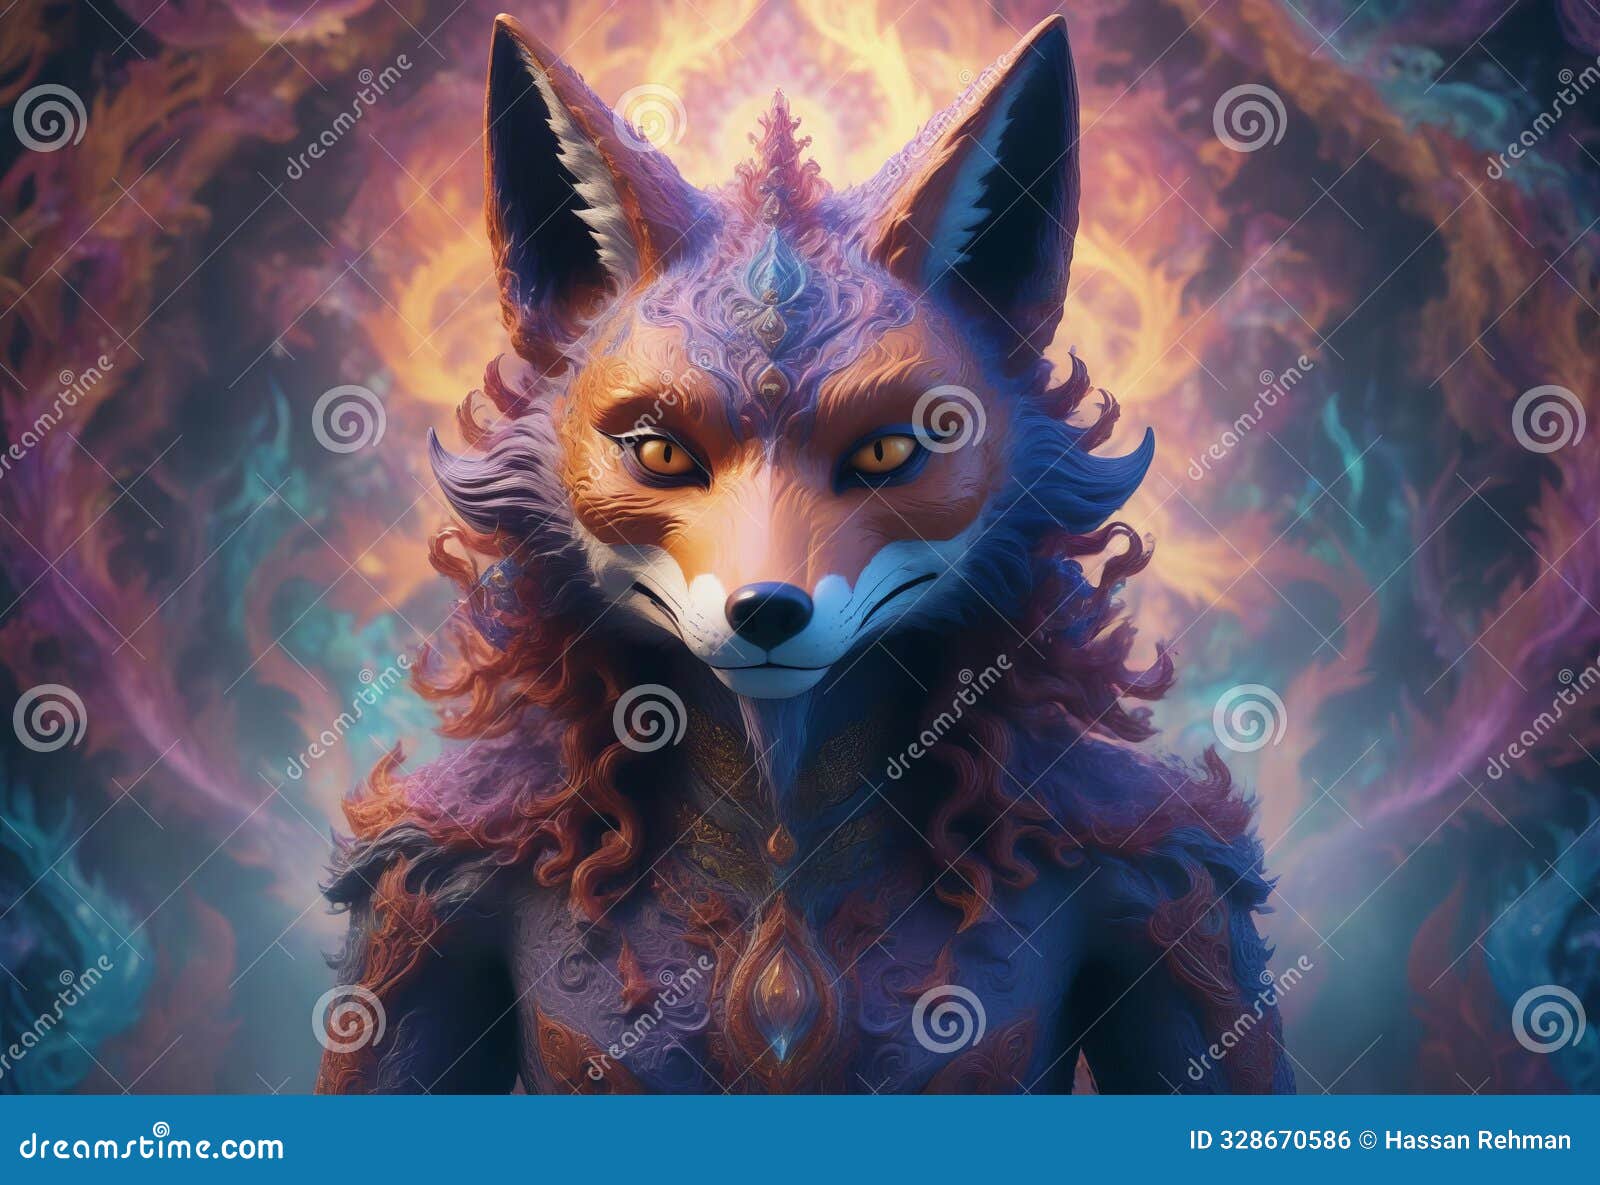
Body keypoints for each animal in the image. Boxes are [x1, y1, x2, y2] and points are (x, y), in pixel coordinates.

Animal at [316, 12, 1293, 1094]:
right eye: (661, 452)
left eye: (887, 452)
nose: (769, 611)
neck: (781, 827)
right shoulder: (425, 873)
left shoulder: (1166, 868)